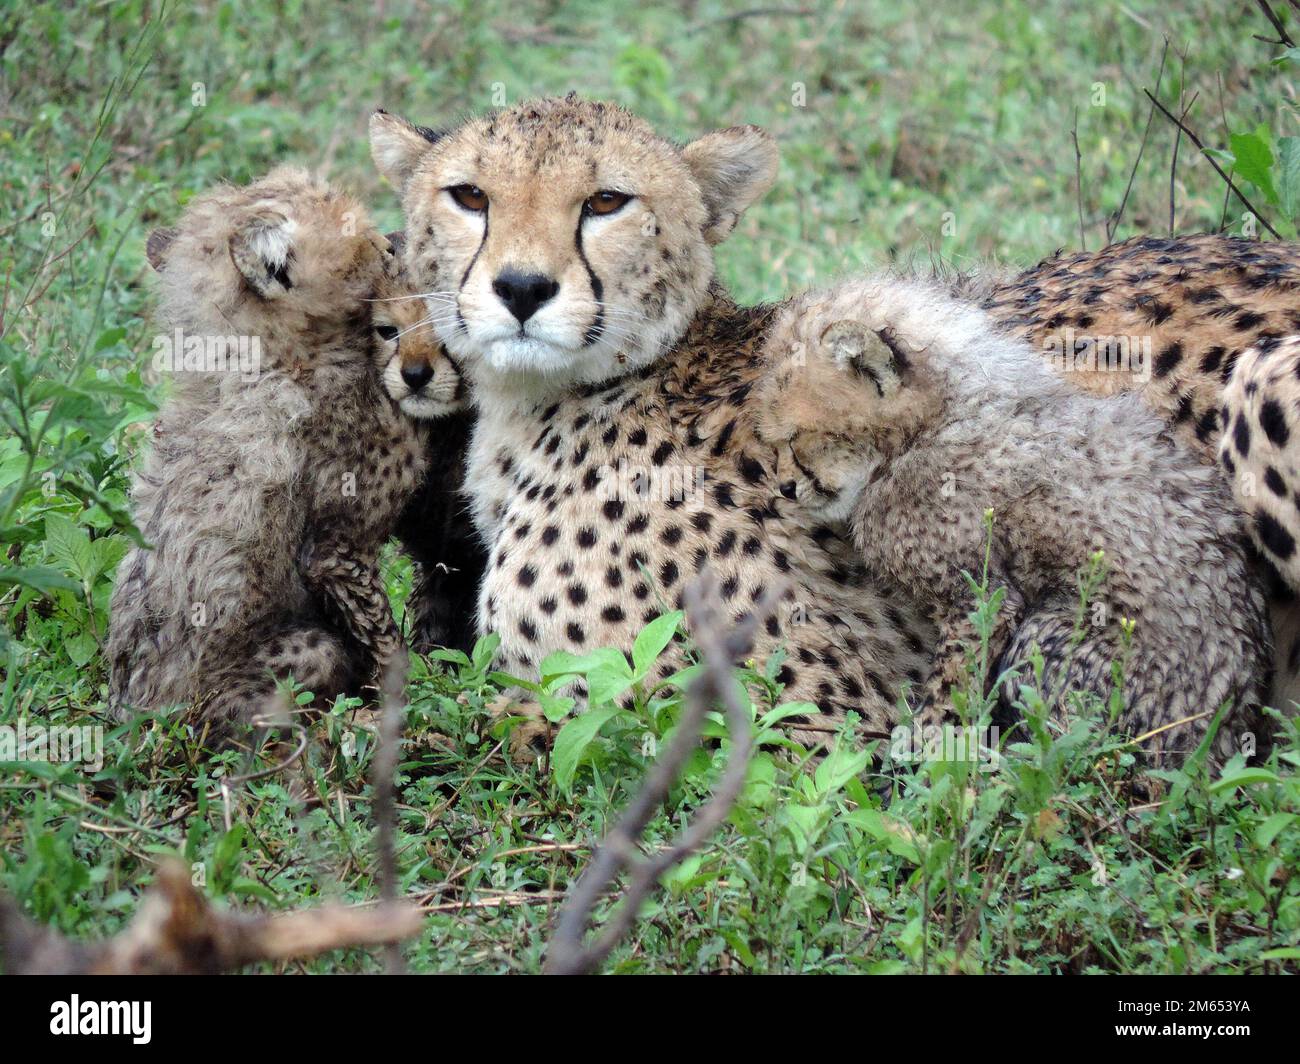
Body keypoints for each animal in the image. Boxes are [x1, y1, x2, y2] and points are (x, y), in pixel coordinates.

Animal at [107, 168, 471, 734]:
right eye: (367, 241)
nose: (390, 242)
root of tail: (136, 717)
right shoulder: (336, 548)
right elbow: (385, 639)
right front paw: (412, 703)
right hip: (302, 652)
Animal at [752, 275, 1271, 765]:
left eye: (796, 437)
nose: (785, 487)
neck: (935, 420)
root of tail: (1227, 731)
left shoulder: (980, 597)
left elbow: (949, 691)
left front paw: (923, 762)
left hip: (1052, 639)